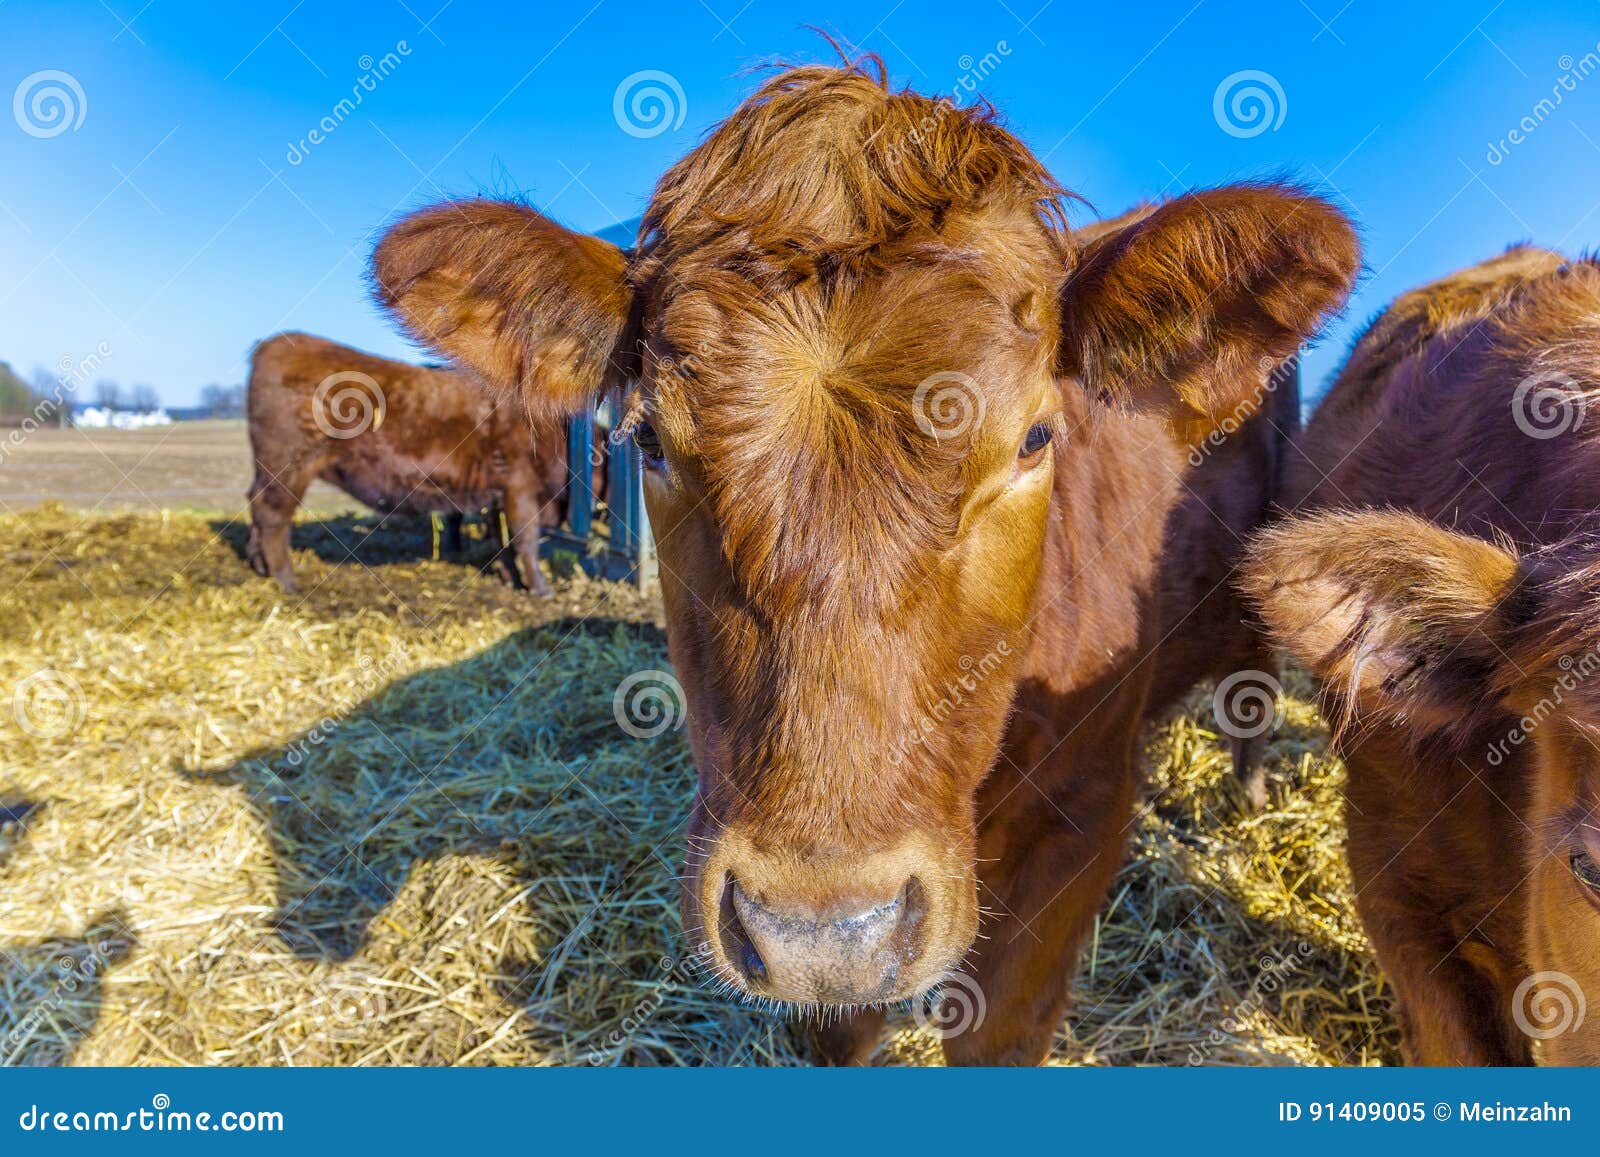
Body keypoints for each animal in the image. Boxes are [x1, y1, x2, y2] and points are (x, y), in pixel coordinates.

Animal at [245, 331, 568, 595]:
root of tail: (272, 343)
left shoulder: (496, 494)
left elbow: (503, 543)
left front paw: (512, 579)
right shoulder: (520, 485)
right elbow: (526, 538)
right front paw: (541, 589)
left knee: (257, 504)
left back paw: (260, 565)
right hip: (289, 464)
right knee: (273, 514)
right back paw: (285, 579)